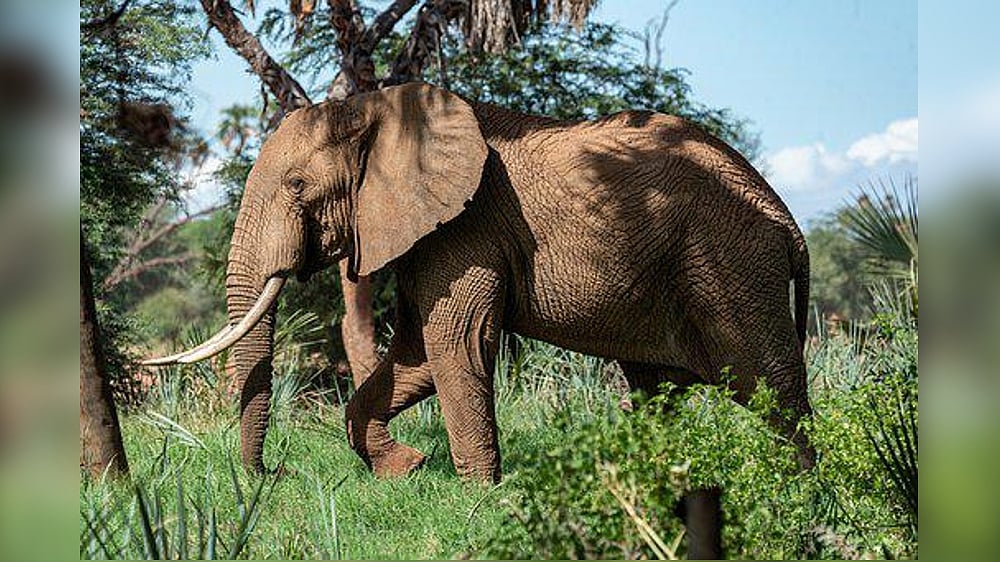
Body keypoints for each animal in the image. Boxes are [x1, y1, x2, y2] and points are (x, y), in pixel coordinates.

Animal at [145, 82, 815, 482]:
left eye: (298, 187)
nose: (272, 476)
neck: (378, 106)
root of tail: (788, 221)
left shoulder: (467, 226)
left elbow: (455, 344)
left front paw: (481, 497)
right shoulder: (427, 231)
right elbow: (416, 355)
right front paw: (406, 469)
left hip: (731, 266)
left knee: (771, 389)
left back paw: (801, 496)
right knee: (659, 390)